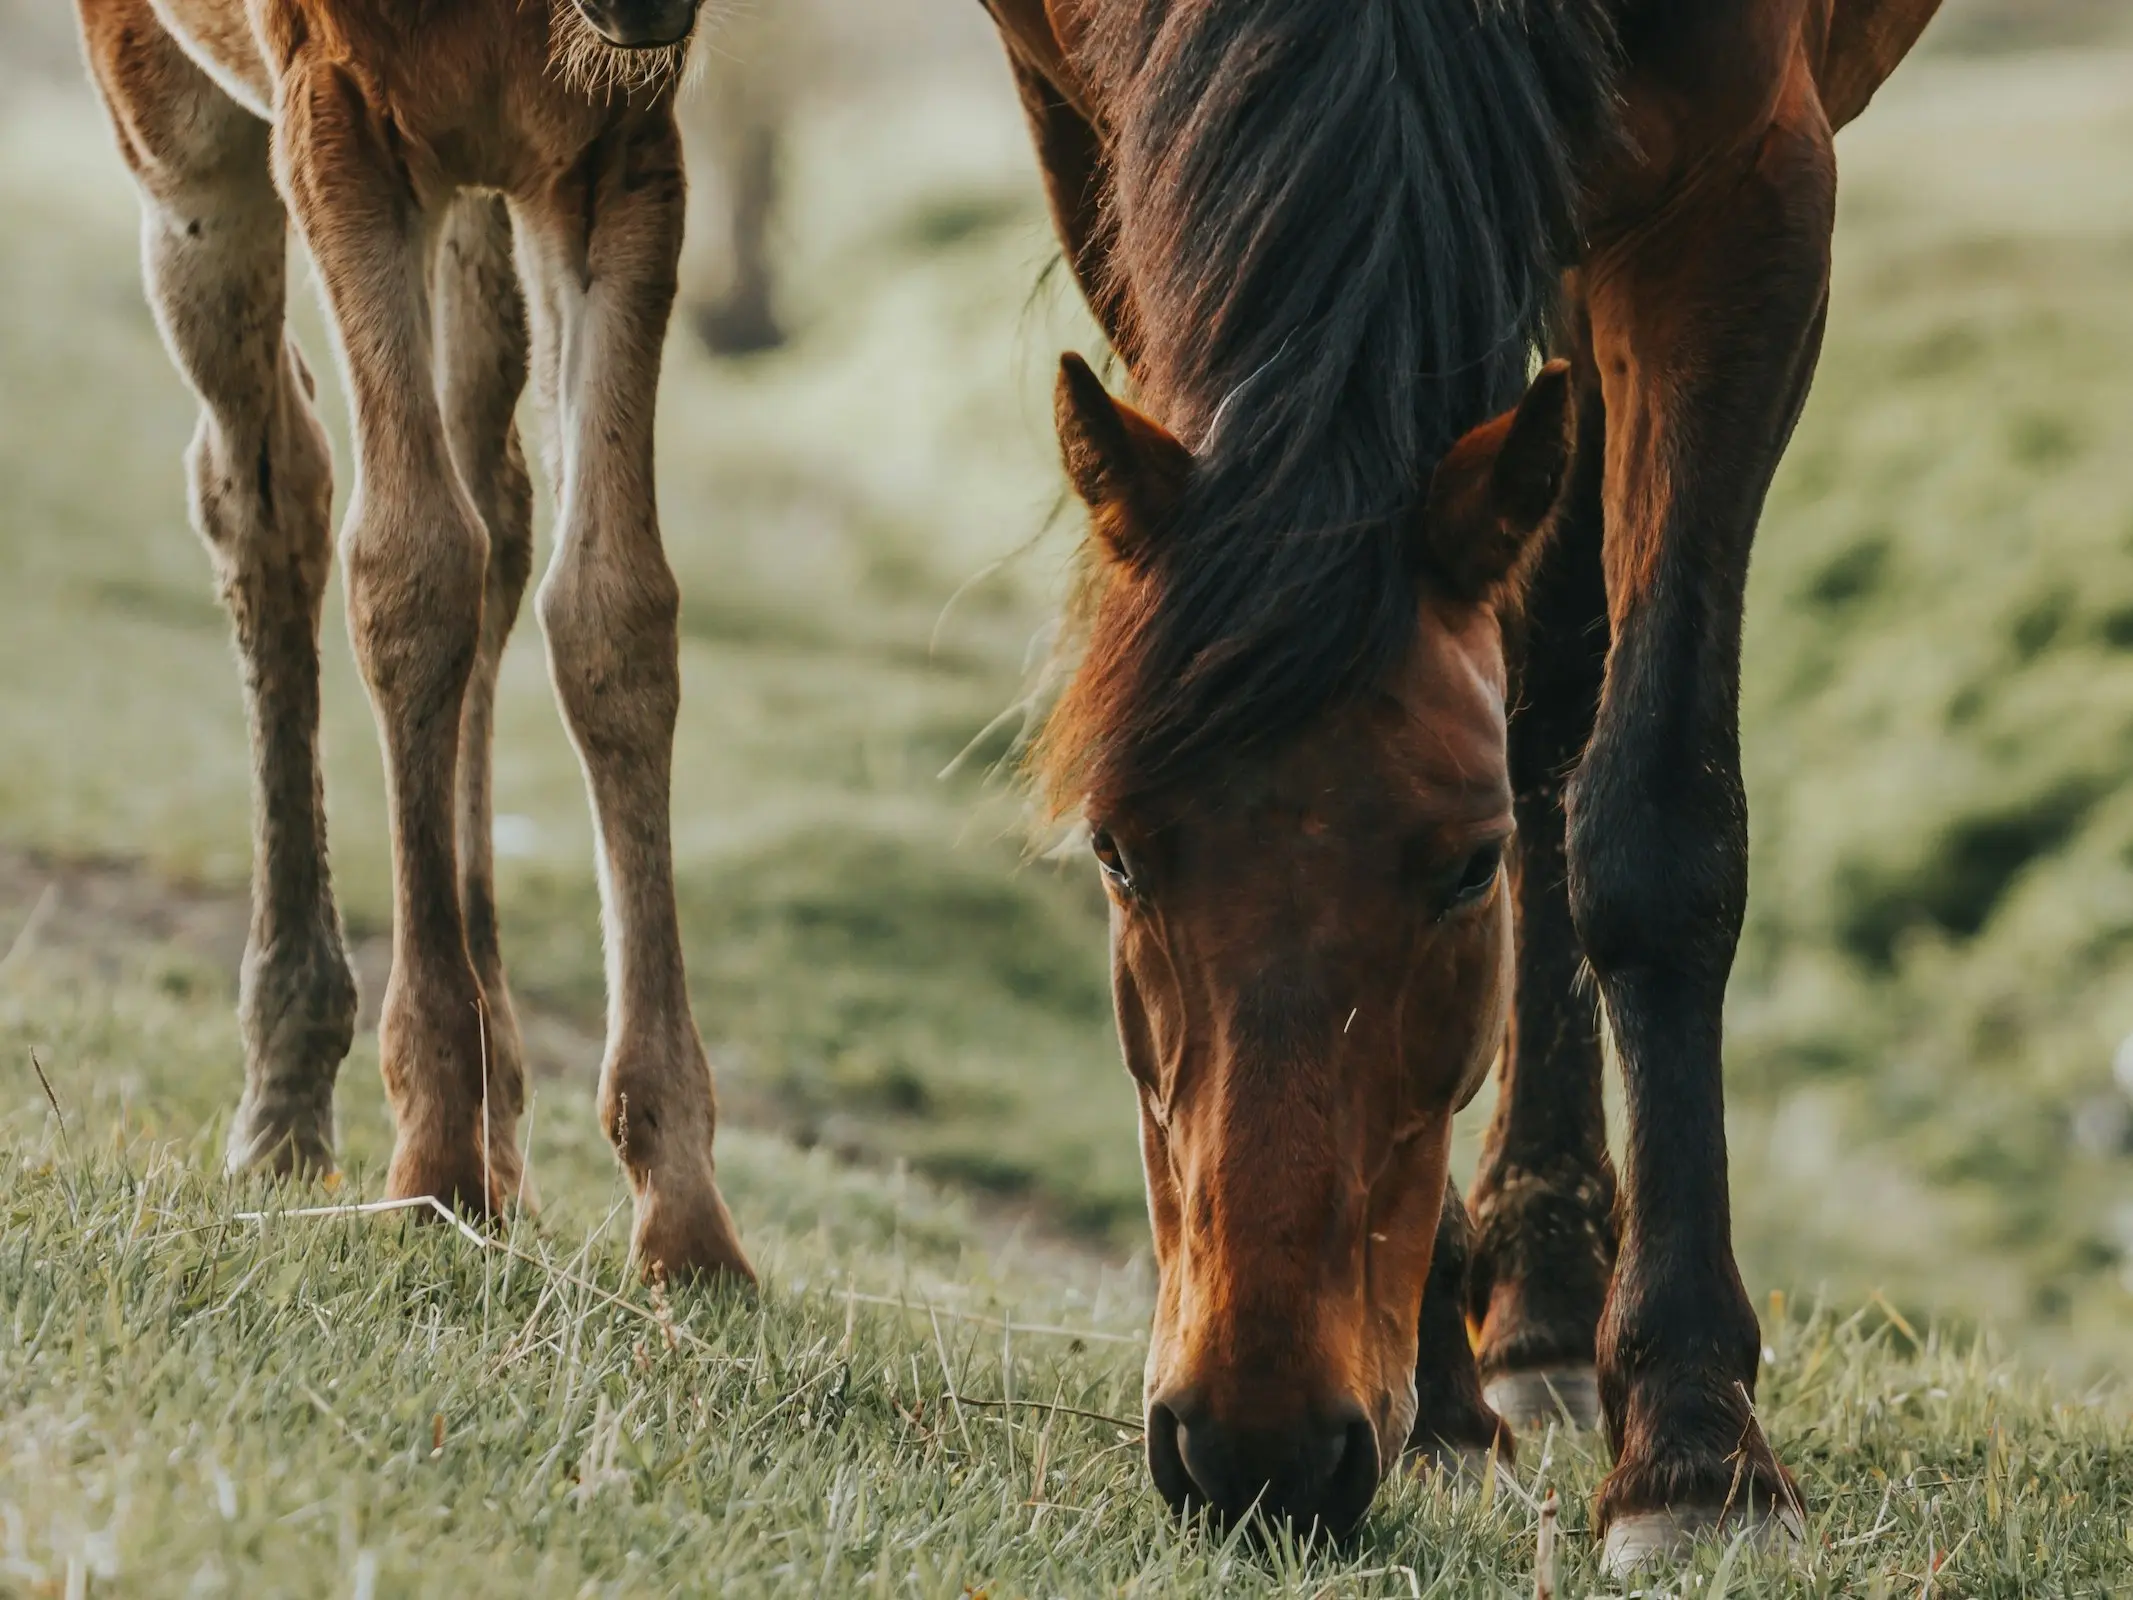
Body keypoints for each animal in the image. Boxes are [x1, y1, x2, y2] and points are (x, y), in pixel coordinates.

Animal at [72, 0, 752, 1283]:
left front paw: (686, 1213)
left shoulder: (615, 149)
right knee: (267, 484)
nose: (642, 9)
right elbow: (408, 567)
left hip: (479, 202)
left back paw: (501, 1127)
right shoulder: (338, 120)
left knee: (496, 503)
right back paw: (290, 1100)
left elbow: (613, 607)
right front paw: (432, 1154)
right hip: (181, 141)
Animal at [983, 0, 1947, 1569]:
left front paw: (1693, 1446)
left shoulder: (1743, 198)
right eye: (1116, 851)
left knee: (1562, 689)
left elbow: (1656, 821)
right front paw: (1441, 1394)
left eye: (1466, 867)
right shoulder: (1091, 140)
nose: (1255, 1448)